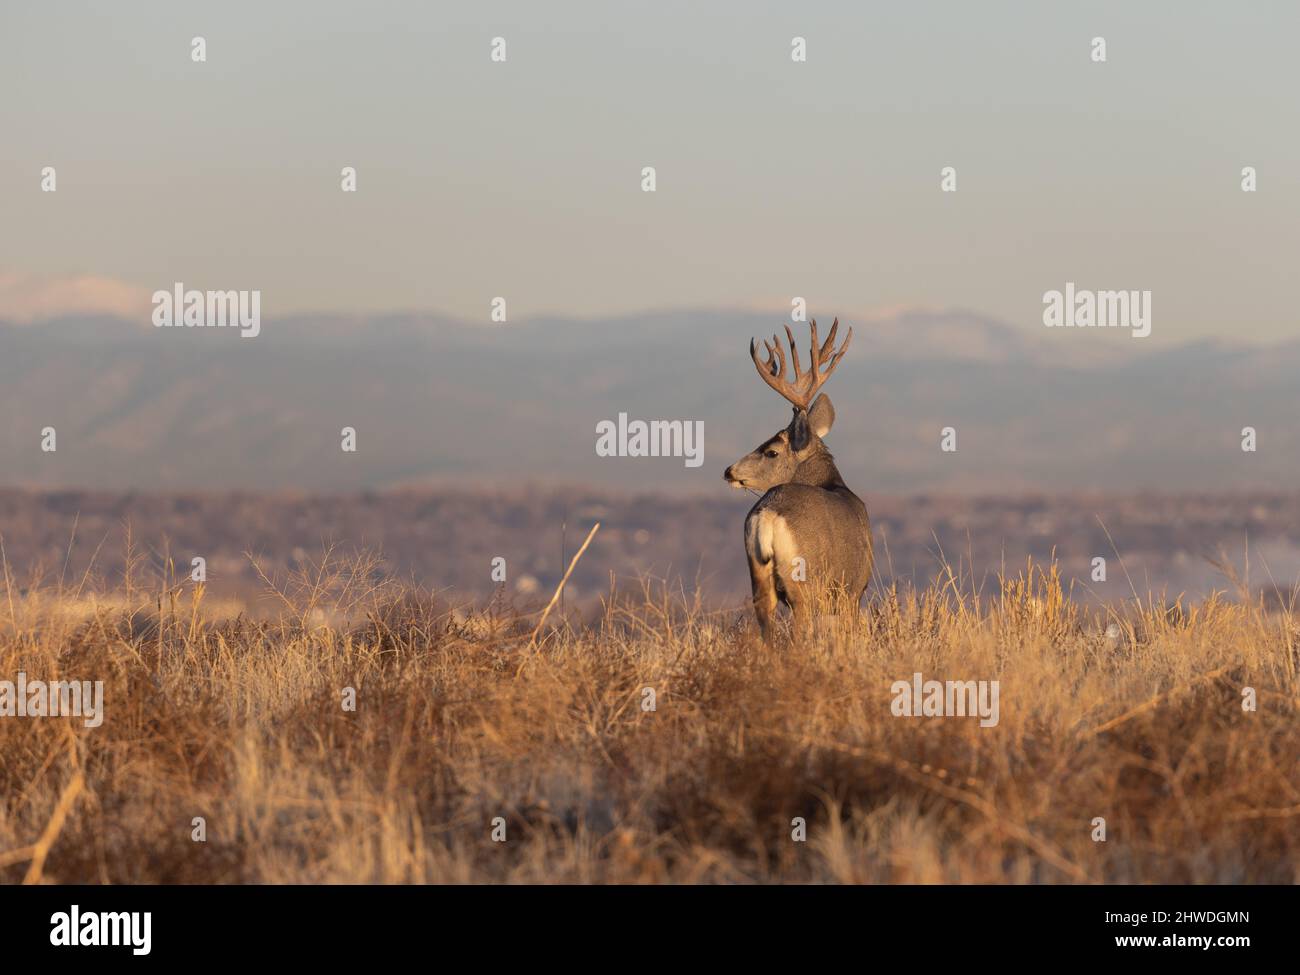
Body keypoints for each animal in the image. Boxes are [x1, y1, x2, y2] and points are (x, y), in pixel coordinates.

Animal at [723, 318, 874, 643]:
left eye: (770, 451)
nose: (729, 471)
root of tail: (768, 514)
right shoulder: (853, 588)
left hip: (758, 573)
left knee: (765, 620)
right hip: (803, 579)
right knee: (800, 627)